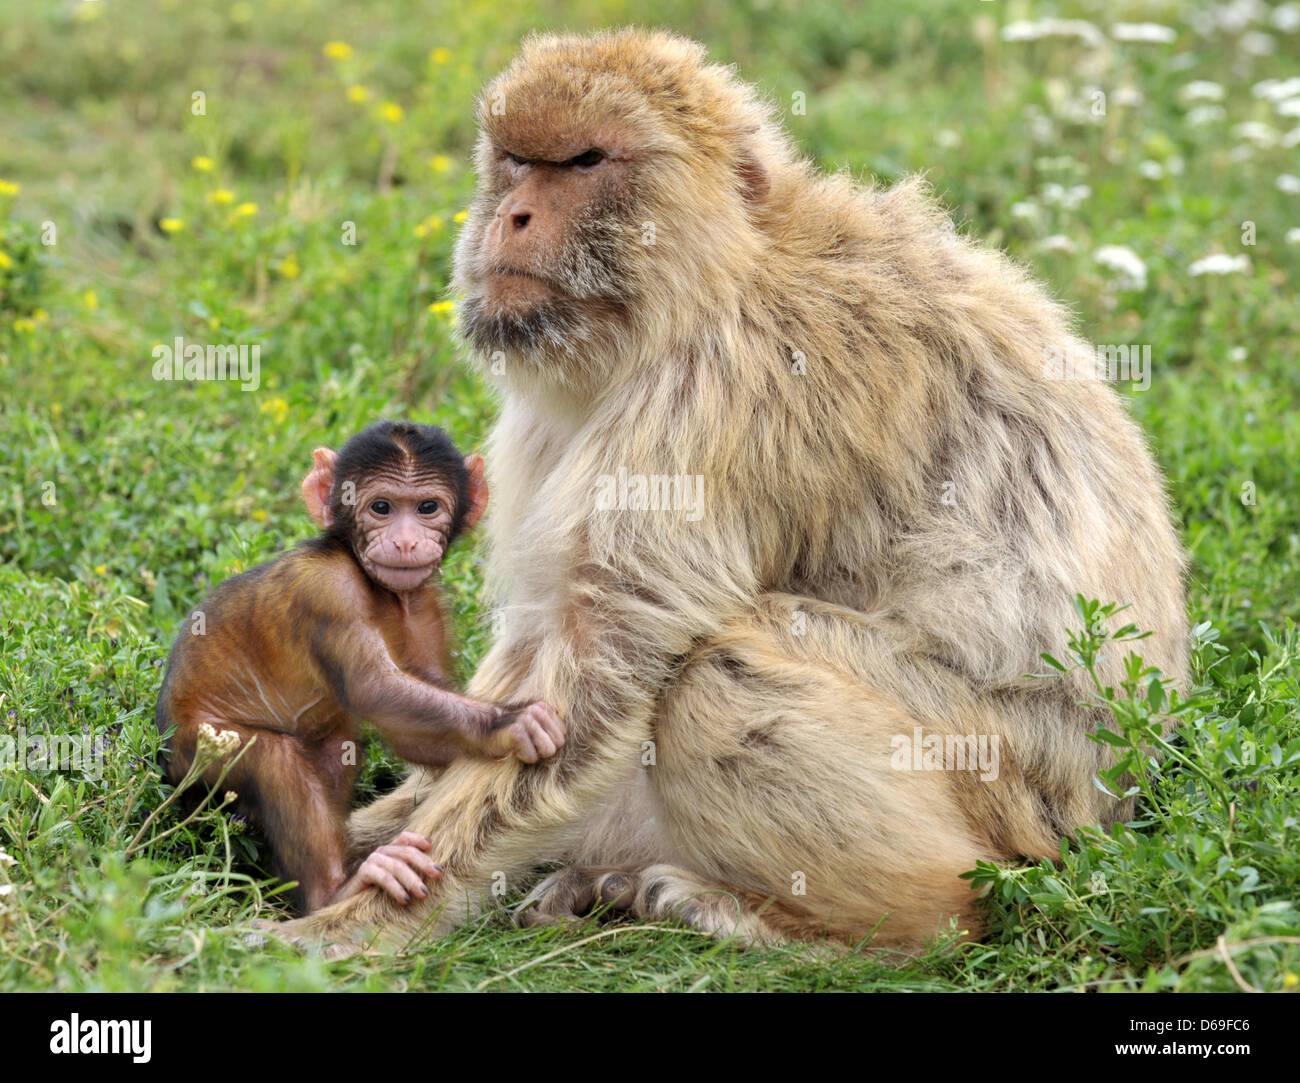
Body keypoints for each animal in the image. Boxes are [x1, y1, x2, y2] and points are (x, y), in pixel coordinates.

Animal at [154, 420, 564, 914]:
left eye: (427, 507)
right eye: (381, 507)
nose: (405, 539)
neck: (376, 586)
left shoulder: (426, 607)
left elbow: (411, 733)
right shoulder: (328, 592)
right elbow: (373, 688)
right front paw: (511, 722)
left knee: (335, 744)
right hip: (194, 750)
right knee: (275, 759)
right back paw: (334, 889)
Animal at [275, 29, 1187, 954]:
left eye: (583, 161)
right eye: (515, 159)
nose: (512, 215)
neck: (708, 280)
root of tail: (1119, 792)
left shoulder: (715, 398)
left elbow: (601, 681)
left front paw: (358, 921)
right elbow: (538, 649)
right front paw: (365, 829)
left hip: (1004, 777)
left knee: (719, 671)